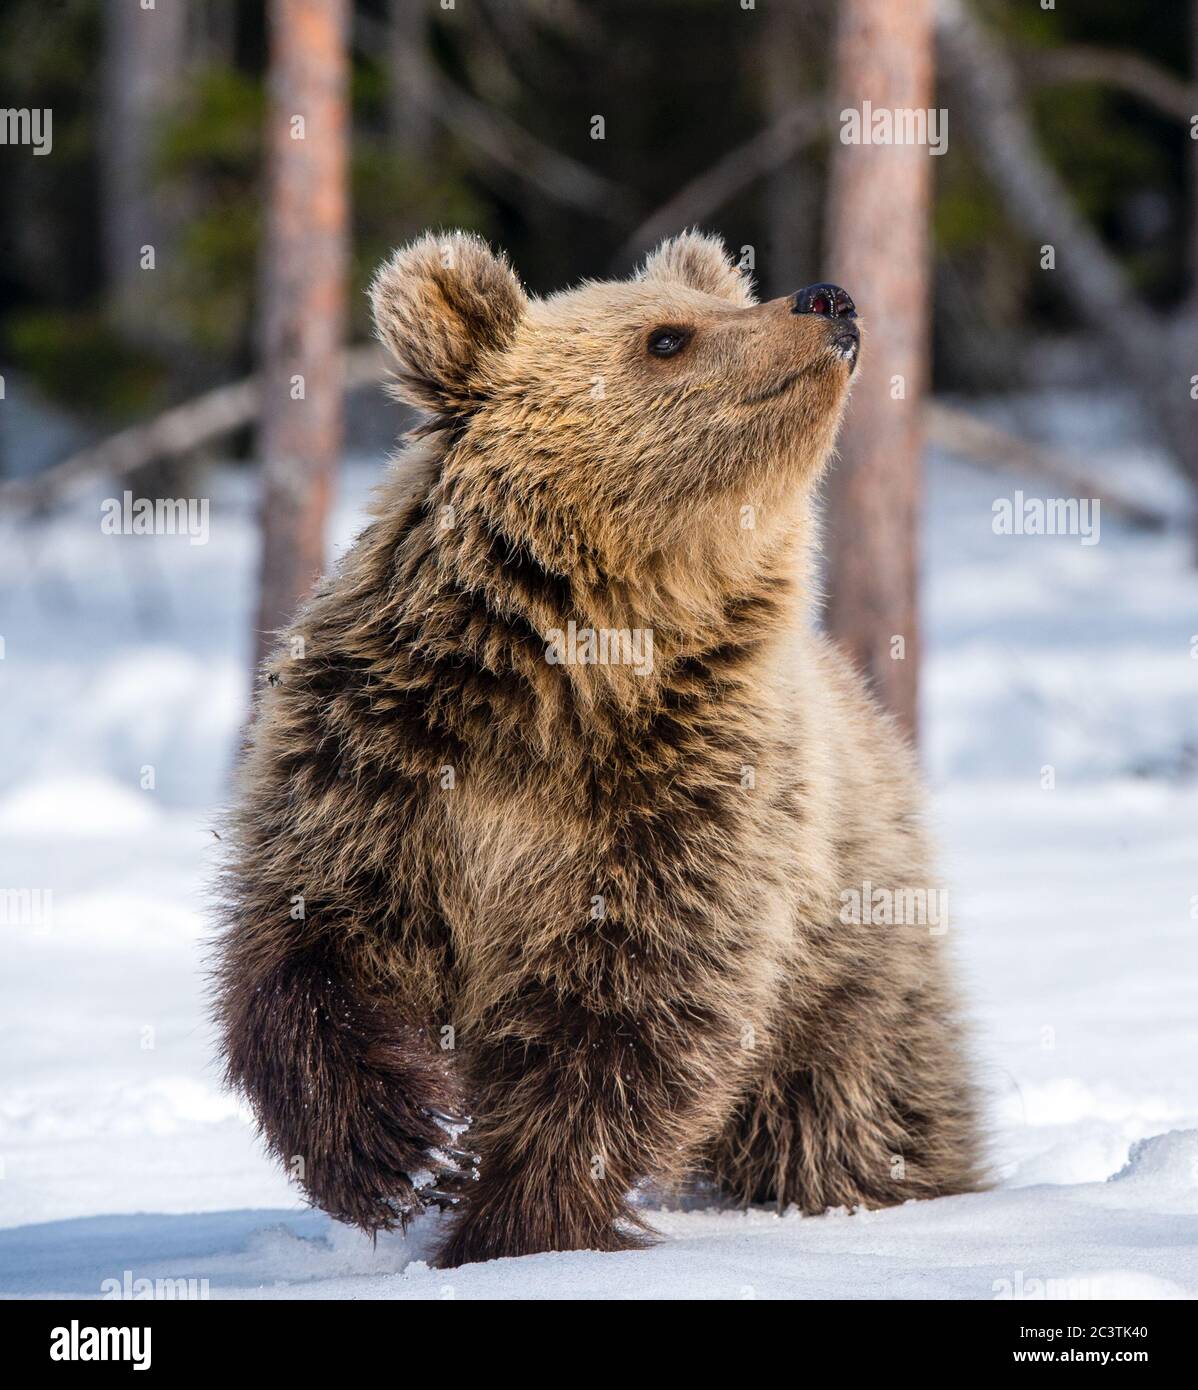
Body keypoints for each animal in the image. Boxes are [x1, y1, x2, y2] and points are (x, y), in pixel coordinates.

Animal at [213, 229, 983, 1269]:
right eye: (668, 336)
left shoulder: (689, 809)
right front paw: (408, 1150)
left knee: (857, 1112)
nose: (827, 298)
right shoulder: (377, 759)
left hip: (851, 967)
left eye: (705, 314)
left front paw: (517, 1233)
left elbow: (623, 1026)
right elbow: (309, 955)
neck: (569, 678)